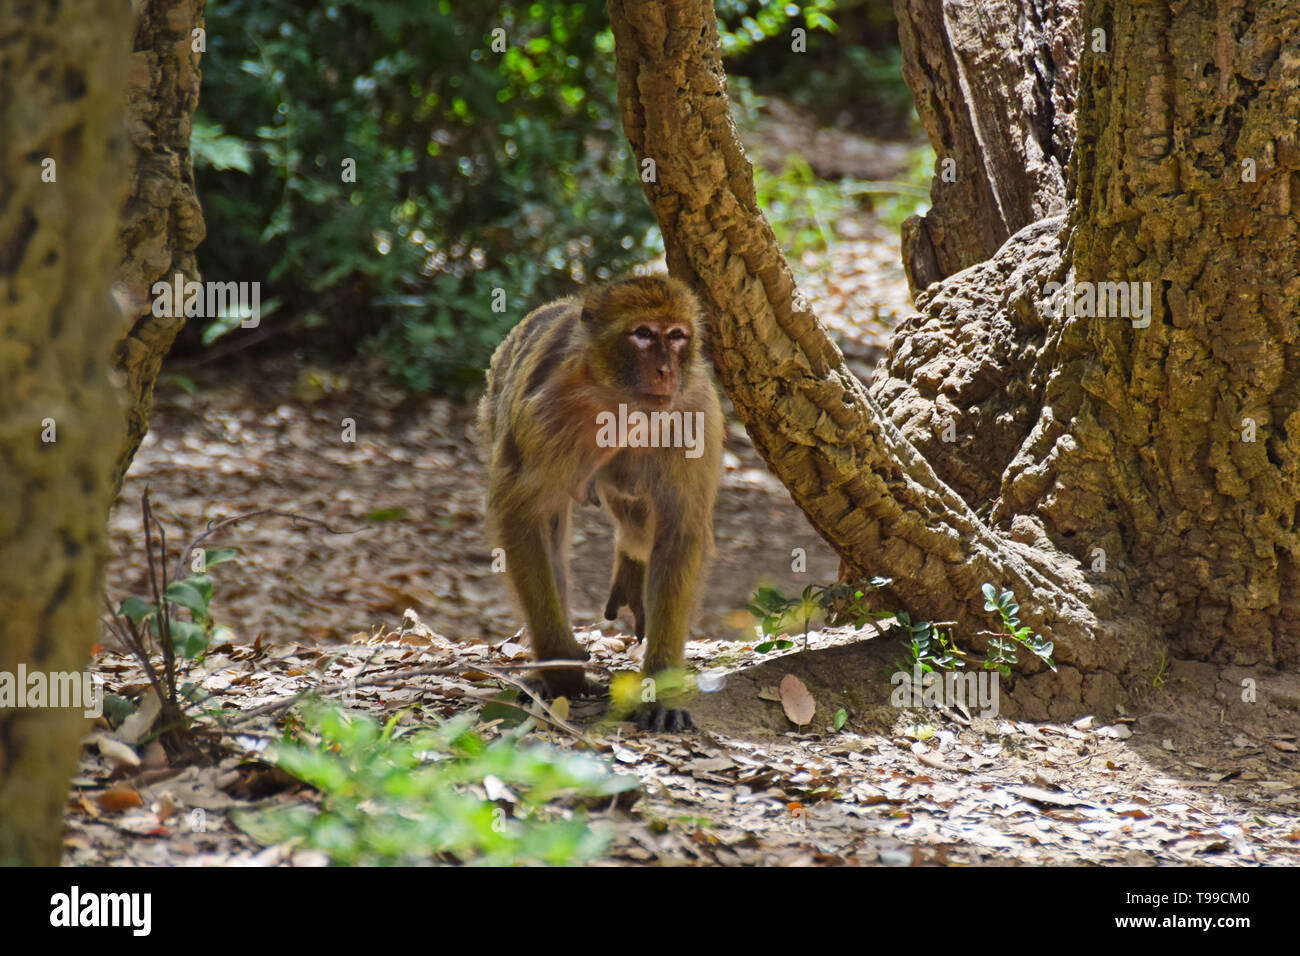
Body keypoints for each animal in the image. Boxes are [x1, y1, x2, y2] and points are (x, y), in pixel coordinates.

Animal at [478, 275, 723, 731]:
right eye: (643, 334)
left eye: (676, 336)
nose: (665, 370)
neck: (620, 401)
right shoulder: (544, 414)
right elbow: (522, 516)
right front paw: (561, 671)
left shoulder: (693, 410)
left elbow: (680, 529)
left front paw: (659, 689)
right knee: (551, 522)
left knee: (638, 517)